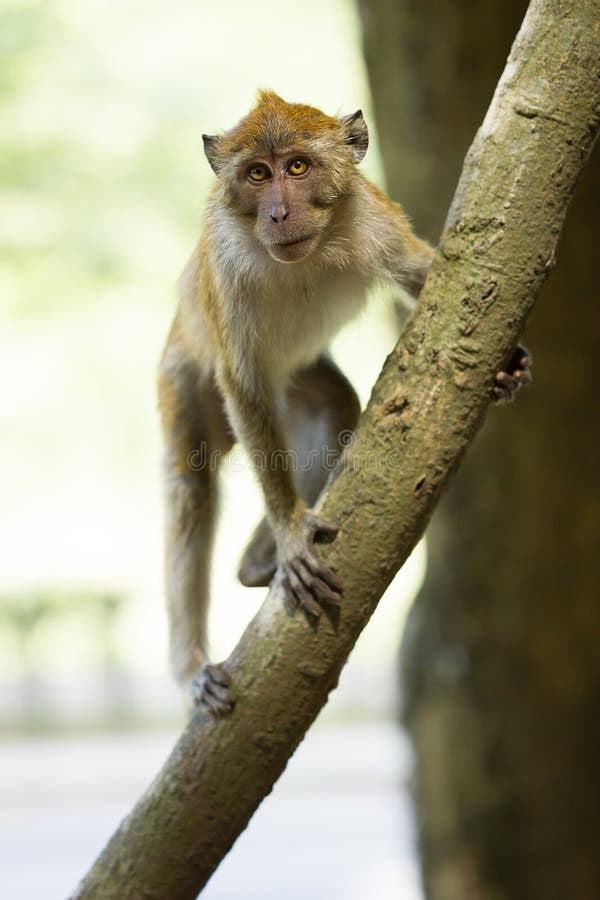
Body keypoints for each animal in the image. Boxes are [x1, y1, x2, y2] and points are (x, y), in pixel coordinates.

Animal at [158, 90, 531, 716]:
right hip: (180, 372)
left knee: (334, 406)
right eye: (257, 175)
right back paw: (191, 668)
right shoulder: (226, 267)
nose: (278, 214)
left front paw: (511, 364)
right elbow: (242, 383)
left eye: (297, 167)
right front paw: (289, 529)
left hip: (299, 382)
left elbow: (431, 274)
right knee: (192, 491)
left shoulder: (373, 219)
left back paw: (253, 565)